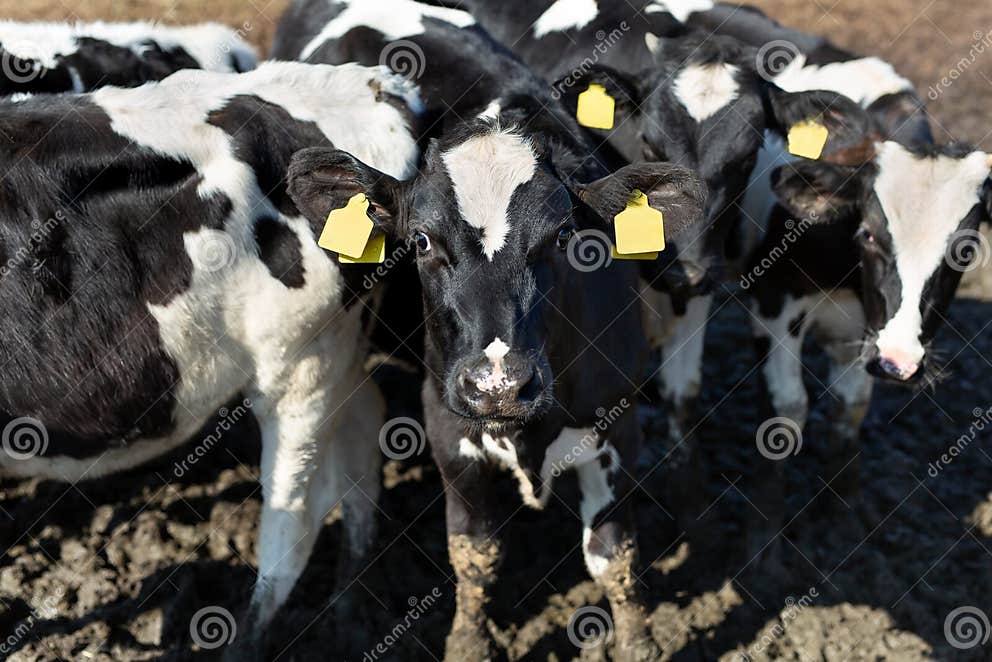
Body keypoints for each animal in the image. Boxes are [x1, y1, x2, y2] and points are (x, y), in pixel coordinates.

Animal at [0, 61, 422, 659]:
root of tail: (373, 82)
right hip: (339, 351)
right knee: (364, 430)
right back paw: (349, 614)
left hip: (300, 365)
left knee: (294, 524)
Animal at [276, 1, 708, 659]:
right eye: (421, 241)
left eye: (563, 235)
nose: (499, 385)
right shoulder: (448, 430)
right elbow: (476, 557)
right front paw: (468, 643)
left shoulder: (618, 421)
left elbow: (614, 558)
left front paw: (637, 642)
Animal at [444, 0, 875, 534]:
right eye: (650, 145)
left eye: (747, 155)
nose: (678, 270)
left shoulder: (700, 286)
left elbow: (682, 391)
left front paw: (691, 505)